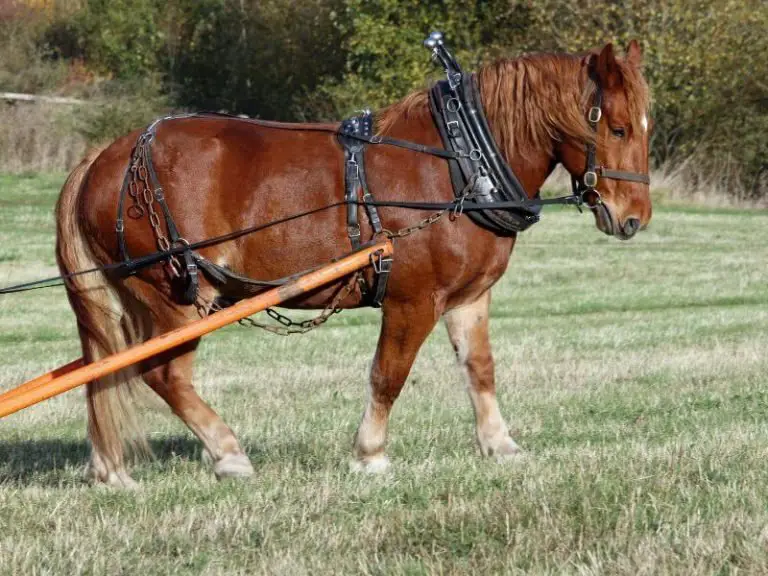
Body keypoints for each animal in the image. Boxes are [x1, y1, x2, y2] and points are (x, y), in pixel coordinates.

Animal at [55, 41, 651, 487]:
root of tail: (105, 157)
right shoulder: (413, 299)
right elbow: (388, 375)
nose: (634, 219)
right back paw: (228, 454)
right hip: (176, 294)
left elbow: (479, 368)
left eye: (645, 126)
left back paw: (111, 470)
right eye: (617, 128)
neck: (462, 165)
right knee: (162, 373)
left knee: (105, 370)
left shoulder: (468, 297)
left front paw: (499, 443)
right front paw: (370, 453)